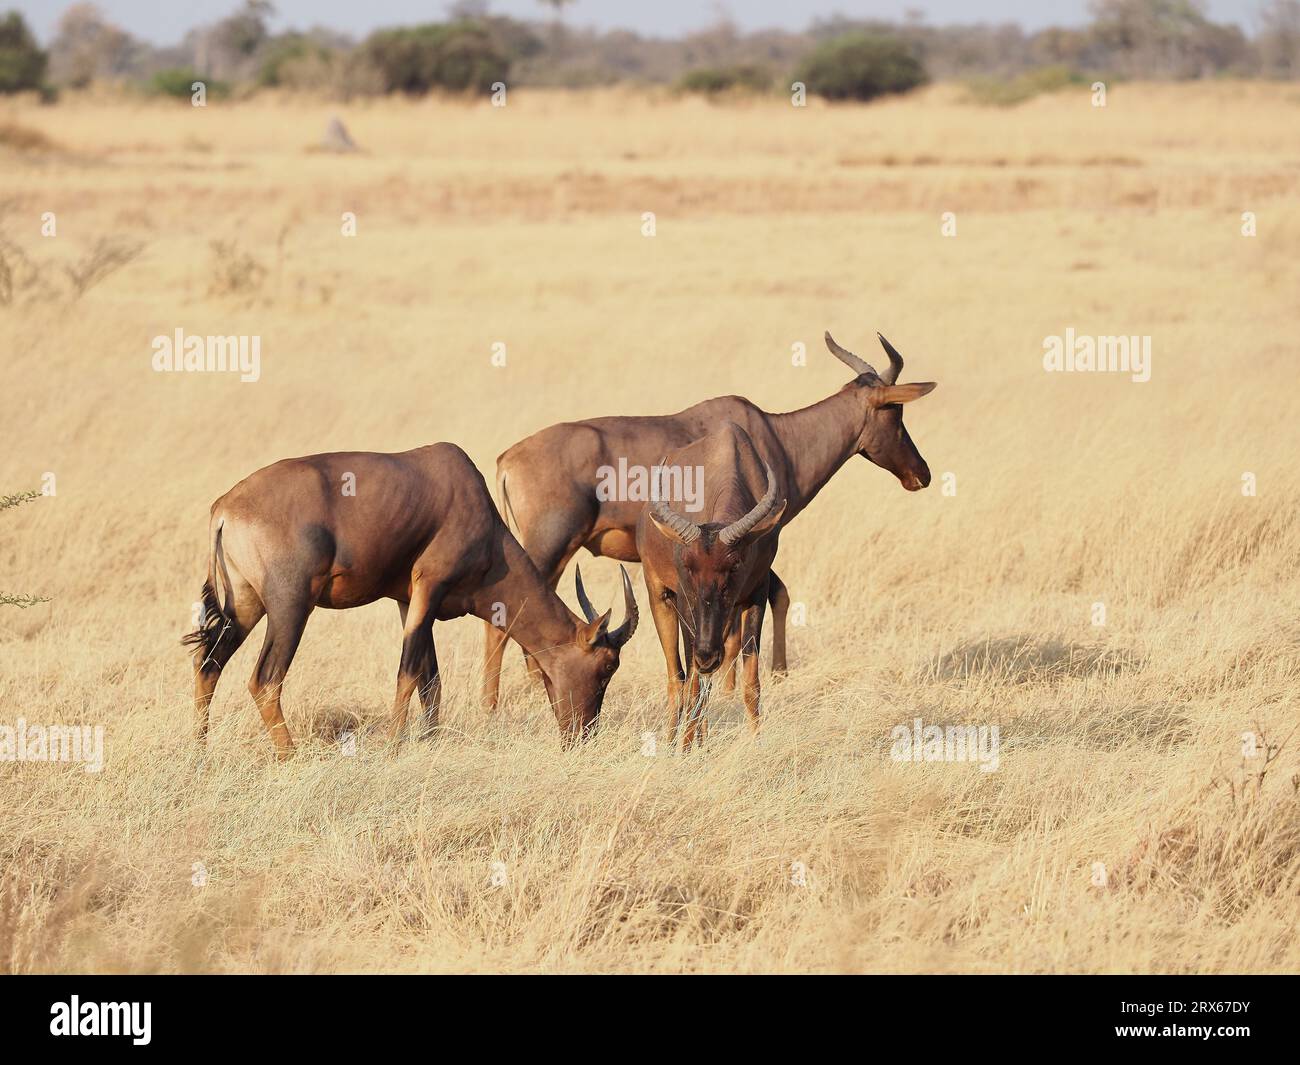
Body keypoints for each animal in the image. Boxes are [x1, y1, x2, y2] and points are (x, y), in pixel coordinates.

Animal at [183, 443, 637, 759]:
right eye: (606, 667)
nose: (580, 738)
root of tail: (224, 509)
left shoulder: (410, 601)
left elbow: (429, 680)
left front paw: (430, 742)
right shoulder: (428, 586)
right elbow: (407, 673)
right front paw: (393, 748)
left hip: (244, 605)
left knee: (208, 665)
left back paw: (199, 755)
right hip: (290, 607)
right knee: (264, 679)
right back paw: (292, 760)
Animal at [483, 331, 937, 709]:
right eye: (896, 413)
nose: (922, 474)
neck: (773, 435)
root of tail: (507, 459)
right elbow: (772, 600)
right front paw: (765, 677)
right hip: (550, 546)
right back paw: (490, 705)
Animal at [639, 423, 786, 748]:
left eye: (734, 565)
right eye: (687, 566)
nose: (707, 656)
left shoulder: (756, 594)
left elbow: (751, 682)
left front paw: (756, 742)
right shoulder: (684, 603)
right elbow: (693, 684)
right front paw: (685, 750)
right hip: (659, 596)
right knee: (678, 678)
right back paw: (673, 741)